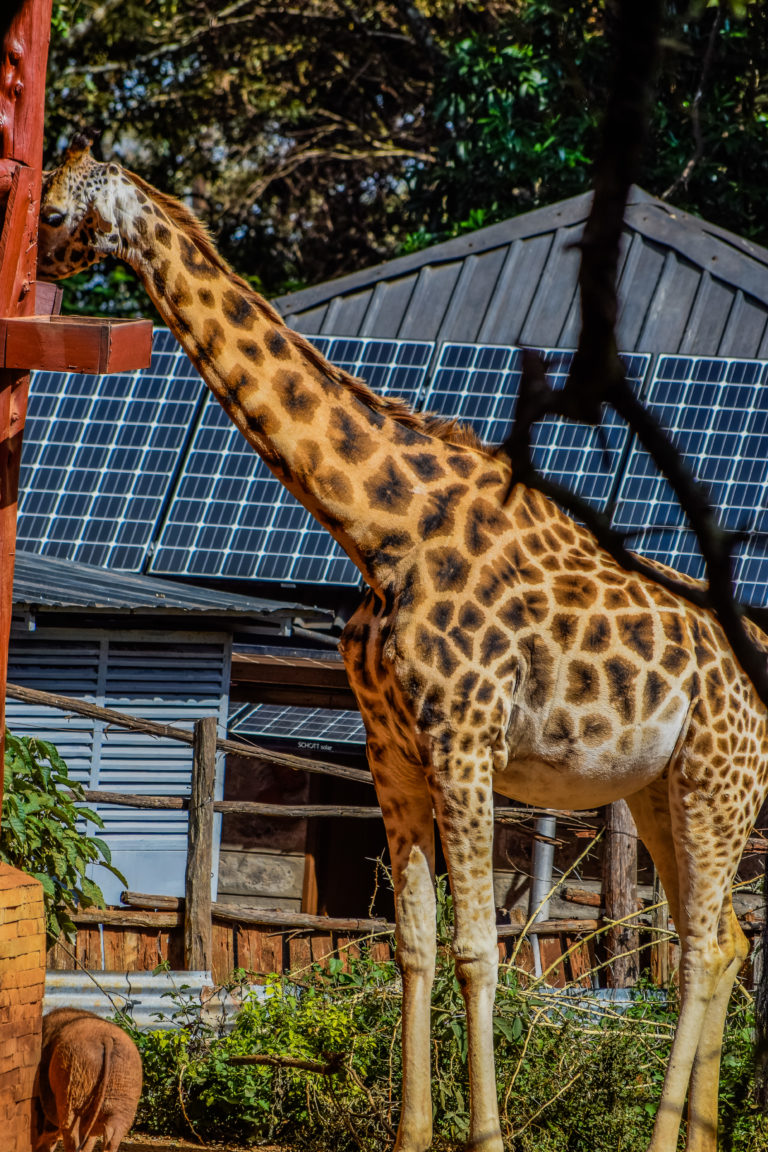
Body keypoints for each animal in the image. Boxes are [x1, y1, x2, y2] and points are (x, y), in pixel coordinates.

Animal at [36, 134, 768, 1152]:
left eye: (54, 214)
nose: (31, 264)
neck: (377, 529)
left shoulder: (463, 741)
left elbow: (480, 951)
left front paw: (487, 1137)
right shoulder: (391, 748)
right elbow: (412, 944)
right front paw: (412, 1134)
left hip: (716, 782)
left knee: (696, 945)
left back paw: (665, 1141)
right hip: (659, 789)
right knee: (727, 937)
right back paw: (699, 1136)